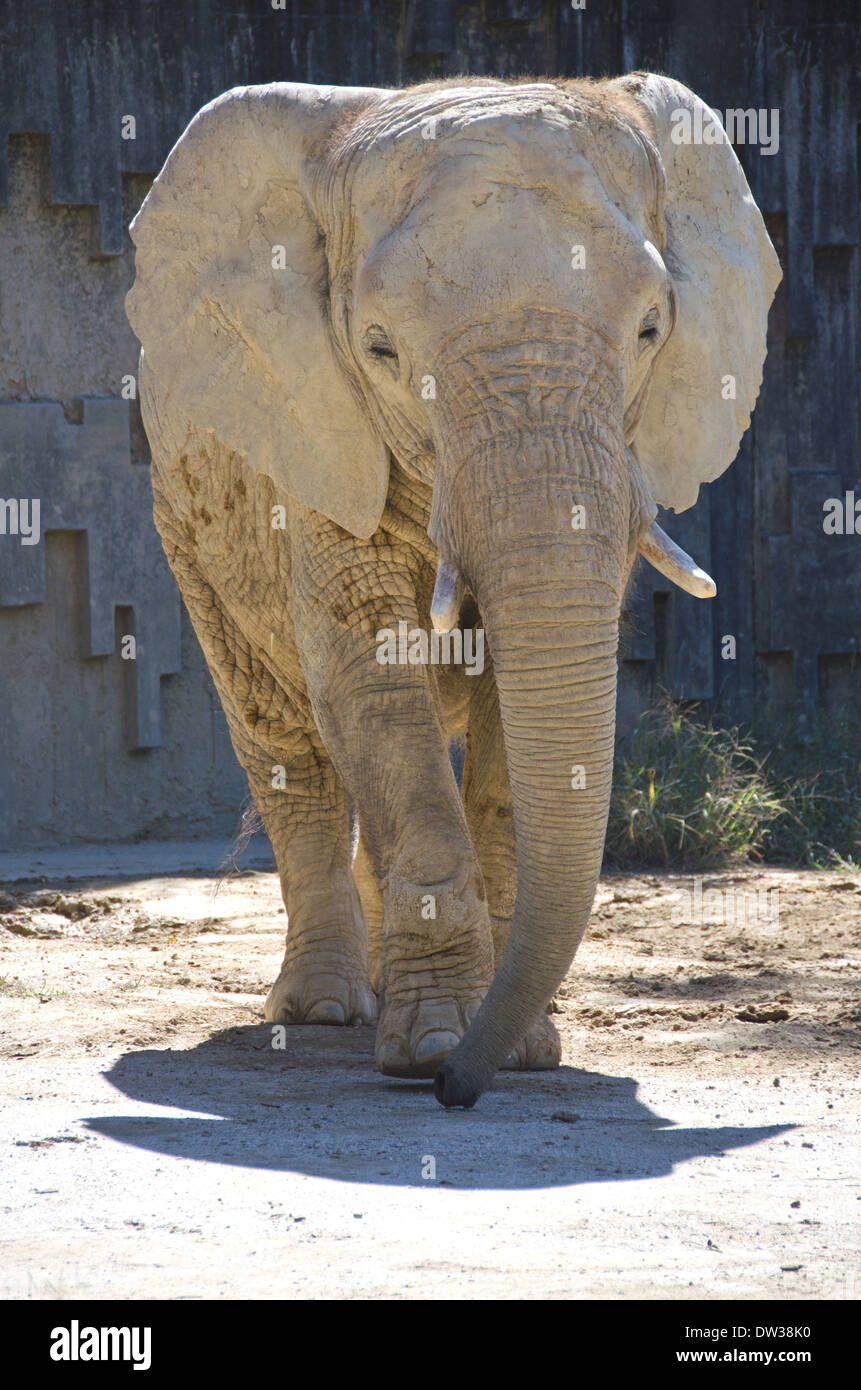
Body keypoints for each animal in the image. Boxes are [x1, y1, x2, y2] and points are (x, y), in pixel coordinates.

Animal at [126, 73, 780, 1108]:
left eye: (650, 330)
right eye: (380, 350)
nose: (453, 1095)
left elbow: (524, 701)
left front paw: (514, 1050)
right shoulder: (316, 441)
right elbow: (369, 679)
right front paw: (435, 1046)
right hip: (186, 521)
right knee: (288, 745)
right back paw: (325, 1011)